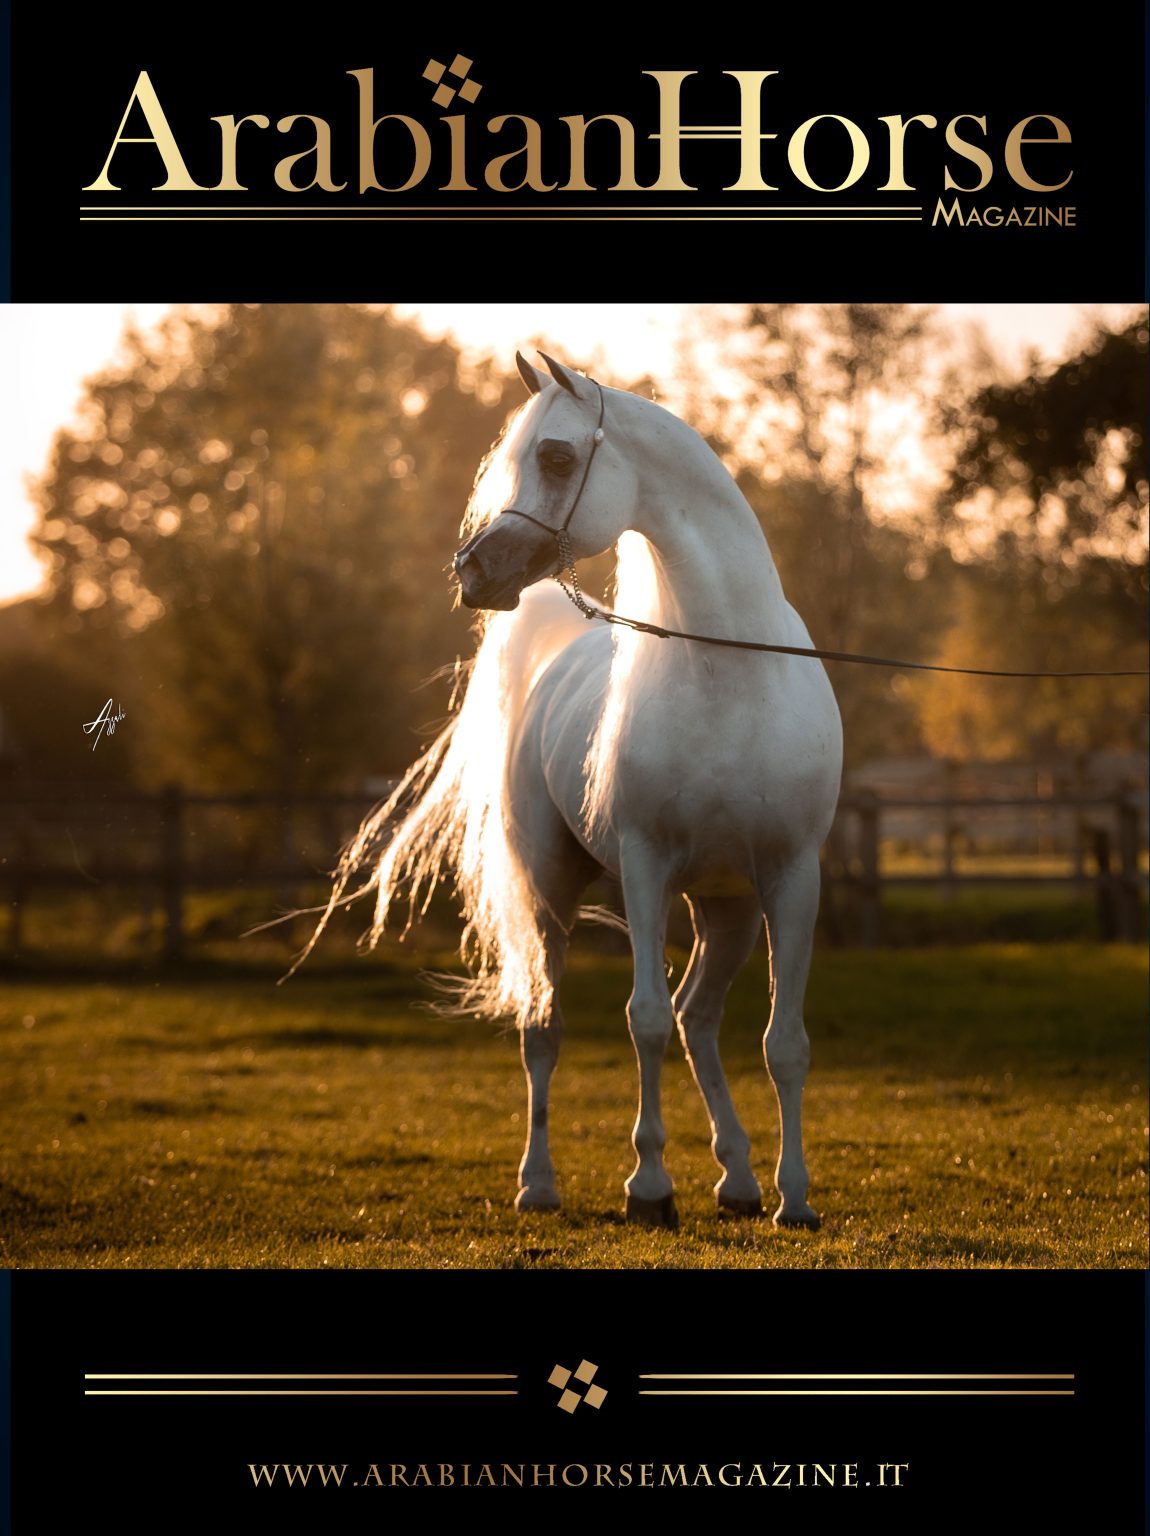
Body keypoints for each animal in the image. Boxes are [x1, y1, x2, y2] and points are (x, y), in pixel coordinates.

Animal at [312, 351, 843, 1229]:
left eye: (557, 457)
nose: (474, 571)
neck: (731, 677)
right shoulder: (646, 868)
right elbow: (645, 1022)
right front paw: (649, 1188)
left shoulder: (791, 878)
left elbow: (785, 1043)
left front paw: (794, 1197)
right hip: (552, 889)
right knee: (545, 1025)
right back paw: (539, 1183)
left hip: (727, 908)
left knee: (701, 1017)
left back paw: (738, 1179)